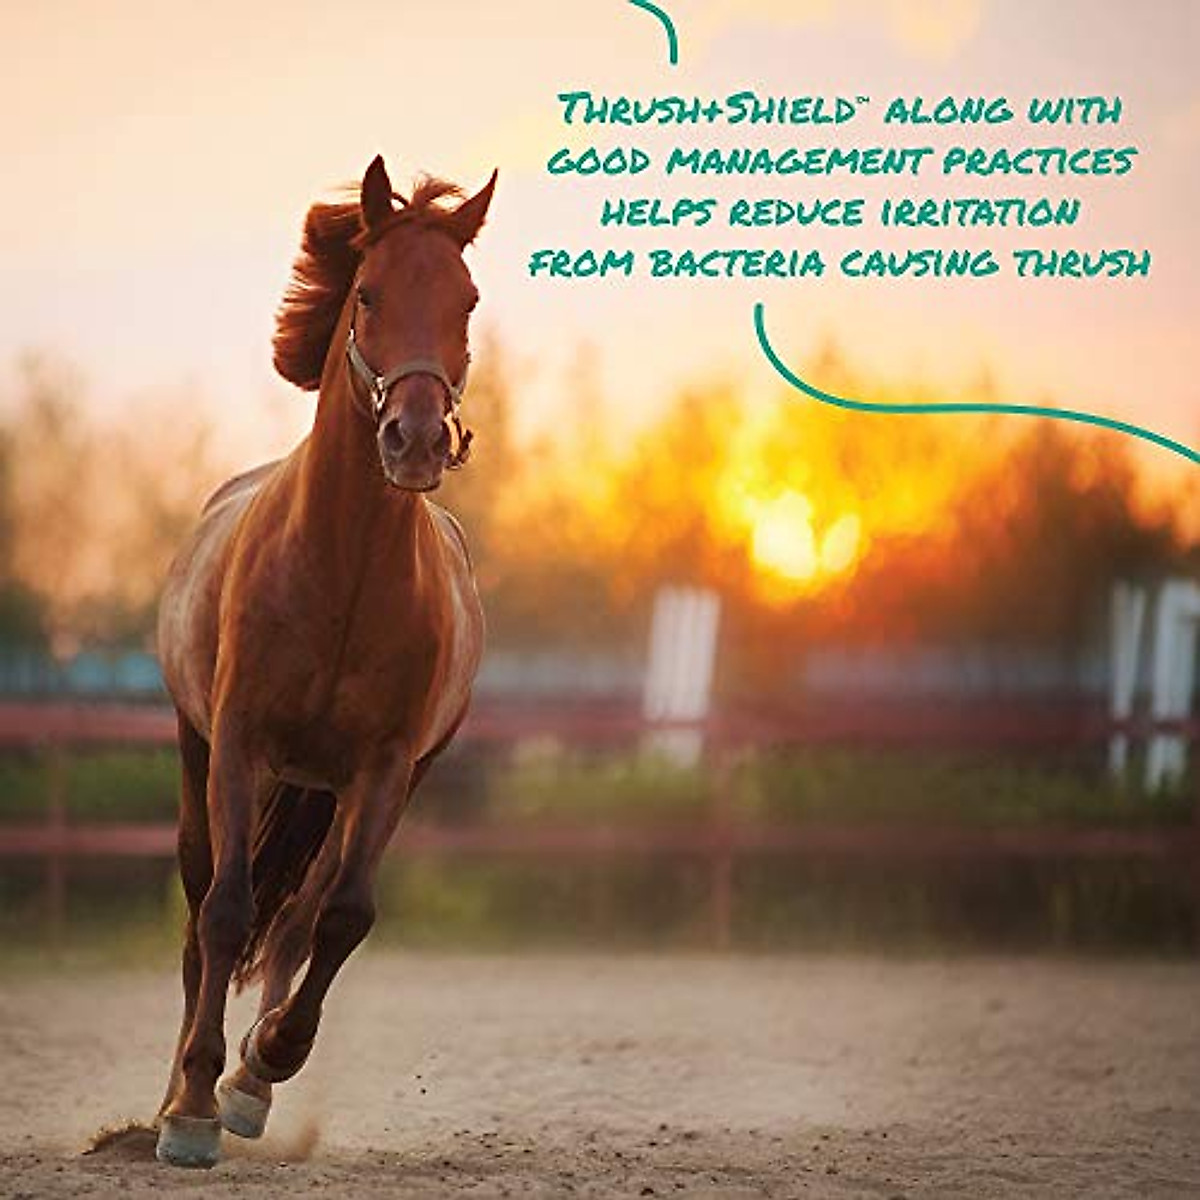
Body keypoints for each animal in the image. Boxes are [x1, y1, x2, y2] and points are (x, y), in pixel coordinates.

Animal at [152, 155, 495, 1168]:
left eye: (466, 300)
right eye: (369, 292)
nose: (415, 439)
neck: (344, 571)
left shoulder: (384, 767)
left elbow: (339, 916)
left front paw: (261, 1064)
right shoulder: (237, 741)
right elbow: (227, 911)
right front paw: (192, 1111)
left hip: (354, 785)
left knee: (301, 918)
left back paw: (250, 1079)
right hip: (198, 751)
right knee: (201, 915)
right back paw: (175, 1091)